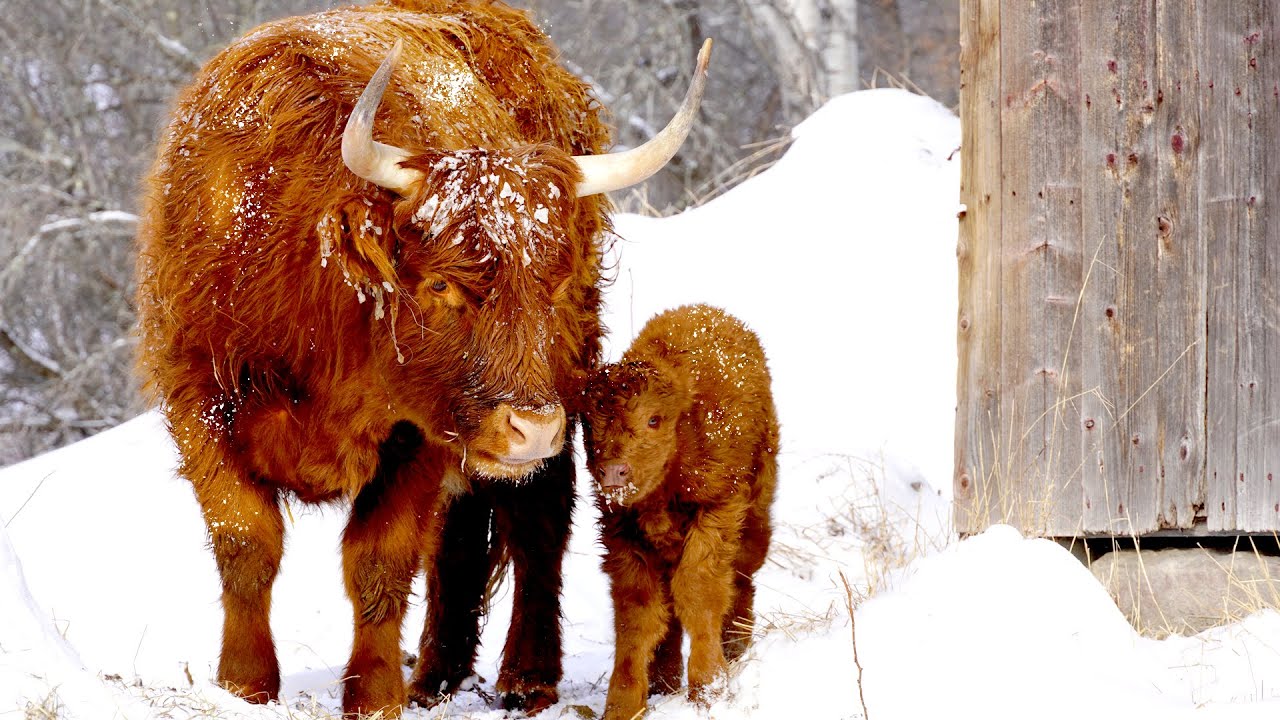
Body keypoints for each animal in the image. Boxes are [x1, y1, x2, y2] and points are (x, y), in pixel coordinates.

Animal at [133, 0, 710, 715]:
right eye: (440, 285)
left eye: (549, 285)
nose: (532, 428)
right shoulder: (199, 400)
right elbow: (246, 544)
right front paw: (245, 683)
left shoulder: (417, 431)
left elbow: (378, 559)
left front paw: (374, 694)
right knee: (460, 535)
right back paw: (437, 675)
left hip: (553, 383)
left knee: (537, 515)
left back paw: (526, 675)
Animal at [580, 304, 779, 720]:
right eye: (589, 424)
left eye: (654, 419)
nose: (613, 472)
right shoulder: (622, 536)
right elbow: (637, 616)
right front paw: (623, 704)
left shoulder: (717, 511)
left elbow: (699, 592)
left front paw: (709, 686)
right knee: (669, 614)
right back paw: (664, 682)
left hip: (756, 514)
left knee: (742, 578)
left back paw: (736, 649)